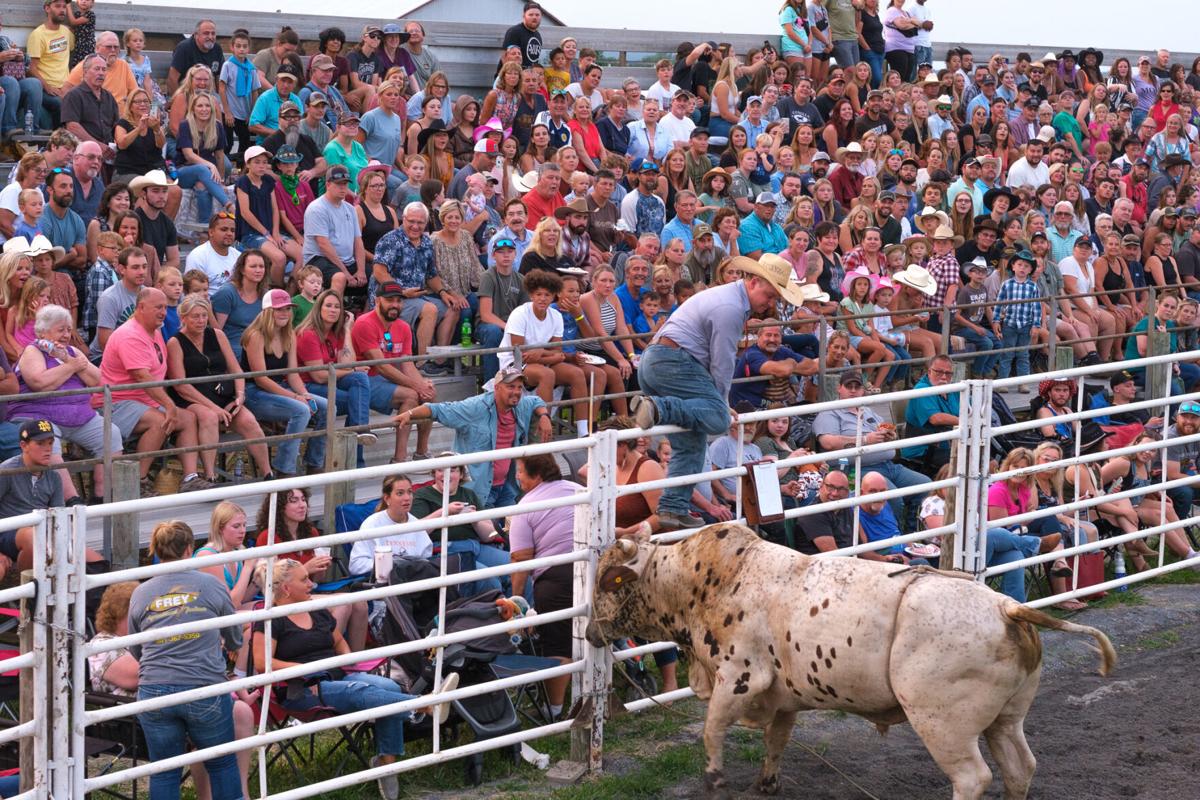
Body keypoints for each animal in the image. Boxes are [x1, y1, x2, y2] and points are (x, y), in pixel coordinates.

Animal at [585, 523, 1115, 800]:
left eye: (606, 584)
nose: (589, 634)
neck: (703, 582)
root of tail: (1008, 608)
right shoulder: (784, 696)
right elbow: (777, 739)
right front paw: (766, 782)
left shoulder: (741, 676)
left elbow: (712, 728)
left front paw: (714, 779)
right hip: (1005, 718)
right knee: (1019, 767)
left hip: (944, 723)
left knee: (972, 777)